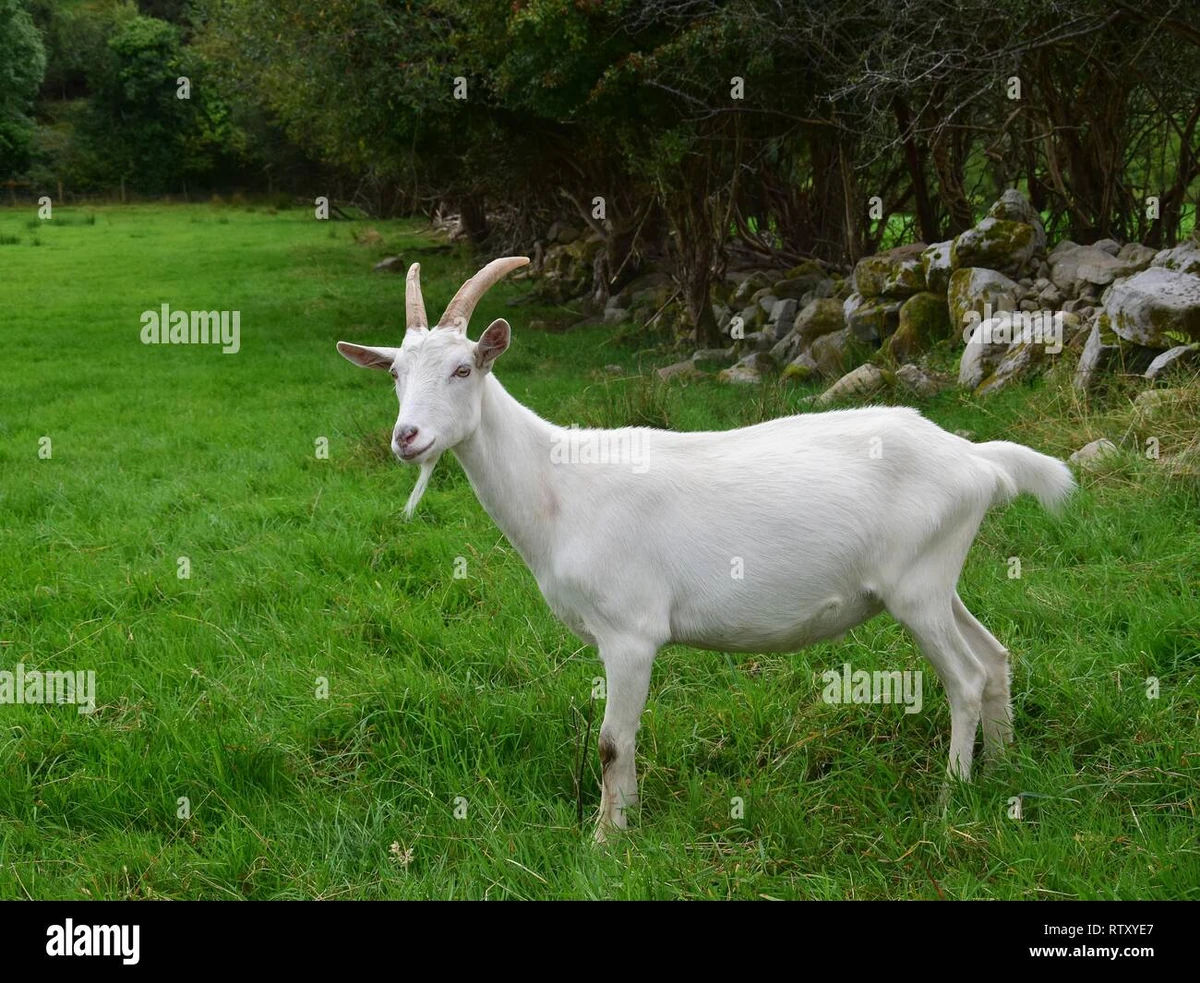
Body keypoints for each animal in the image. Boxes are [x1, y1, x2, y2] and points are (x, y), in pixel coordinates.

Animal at [337, 257, 1076, 838]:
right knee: (995, 657)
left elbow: (611, 742)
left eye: (463, 368)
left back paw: (950, 799)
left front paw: (605, 842)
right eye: (395, 374)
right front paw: (628, 820)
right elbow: (623, 744)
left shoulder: (630, 632)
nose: (407, 437)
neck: (558, 483)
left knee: (966, 678)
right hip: (936, 579)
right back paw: (1003, 769)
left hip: (917, 588)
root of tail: (975, 460)